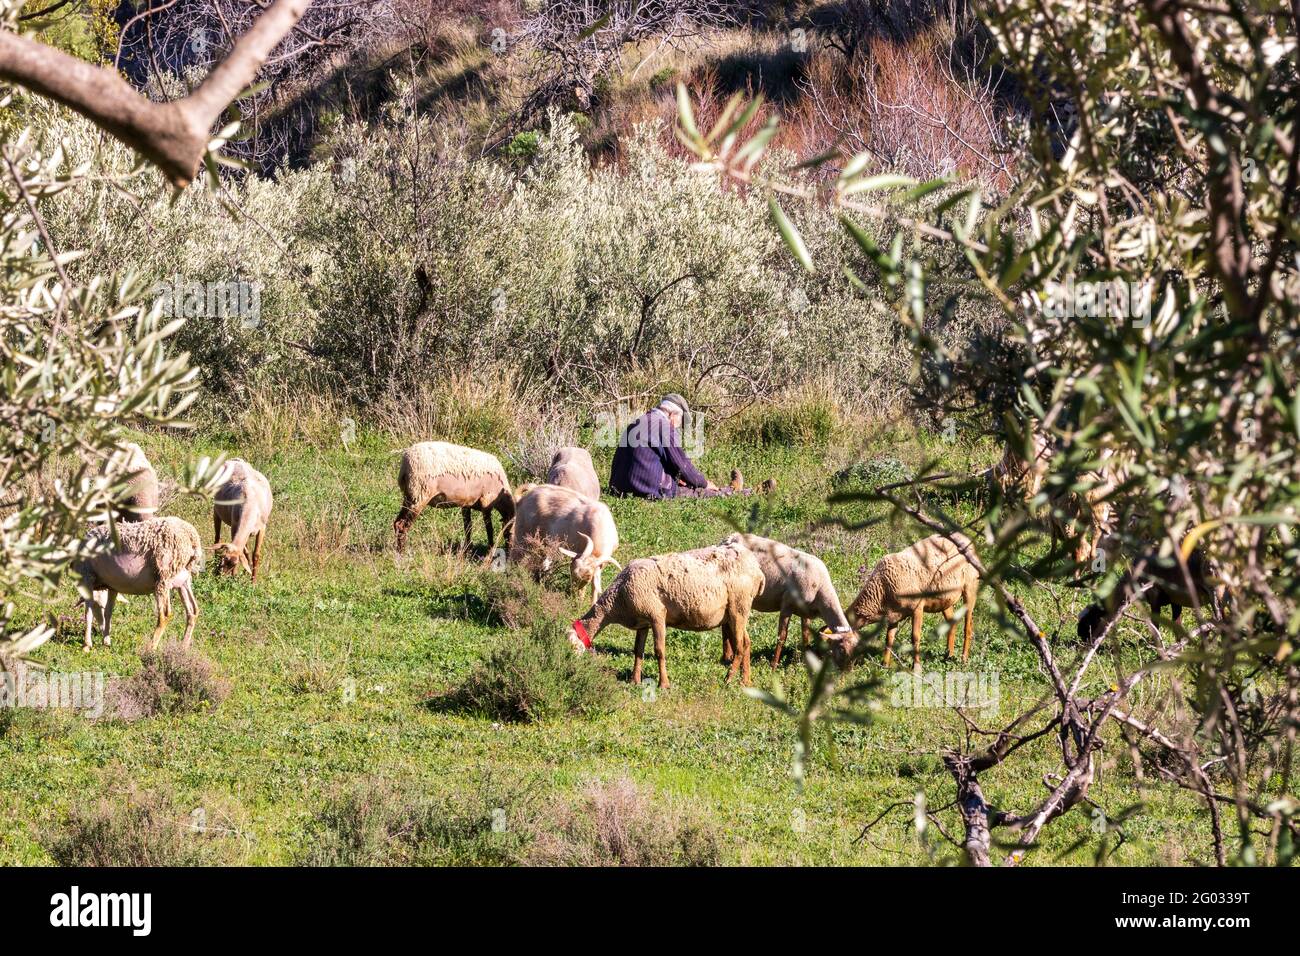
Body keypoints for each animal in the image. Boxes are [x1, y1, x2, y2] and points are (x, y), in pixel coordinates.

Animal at [74, 516, 204, 651]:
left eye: (97, 606)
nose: (100, 629)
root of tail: (191, 537)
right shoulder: (112, 586)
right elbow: (108, 612)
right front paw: (106, 641)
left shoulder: (87, 577)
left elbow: (88, 614)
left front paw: (87, 645)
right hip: (183, 580)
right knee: (193, 611)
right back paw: (183, 646)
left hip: (163, 577)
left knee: (165, 615)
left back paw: (151, 647)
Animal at [566, 540, 765, 688]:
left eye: (571, 645)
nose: (570, 667)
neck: (618, 600)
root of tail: (757, 570)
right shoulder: (643, 622)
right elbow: (638, 651)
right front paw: (634, 680)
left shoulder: (657, 615)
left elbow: (659, 651)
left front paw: (664, 684)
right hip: (737, 612)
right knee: (747, 642)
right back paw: (745, 681)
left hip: (739, 606)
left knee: (739, 646)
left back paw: (728, 679)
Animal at [720, 532, 854, 668]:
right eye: (842, 649)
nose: (848, 671)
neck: (821, 591)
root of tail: (729, 539)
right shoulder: (787, 605)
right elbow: (782, 636)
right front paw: (774, 665)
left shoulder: (806, 612)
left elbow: (805, 635)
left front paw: (804, 660)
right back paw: (728, 656)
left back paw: (728, 656)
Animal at [846, 533, 981, 669]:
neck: (881, 591)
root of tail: (966, 538)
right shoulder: (894, 614)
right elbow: (889, 639)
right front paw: (884, 665)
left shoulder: (917, 607)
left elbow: (915, 637)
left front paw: (916, 667)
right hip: (945, 599)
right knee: (952, 624)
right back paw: (948, 656)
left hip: (970, 587)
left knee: (968, 626)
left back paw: (963, 659)